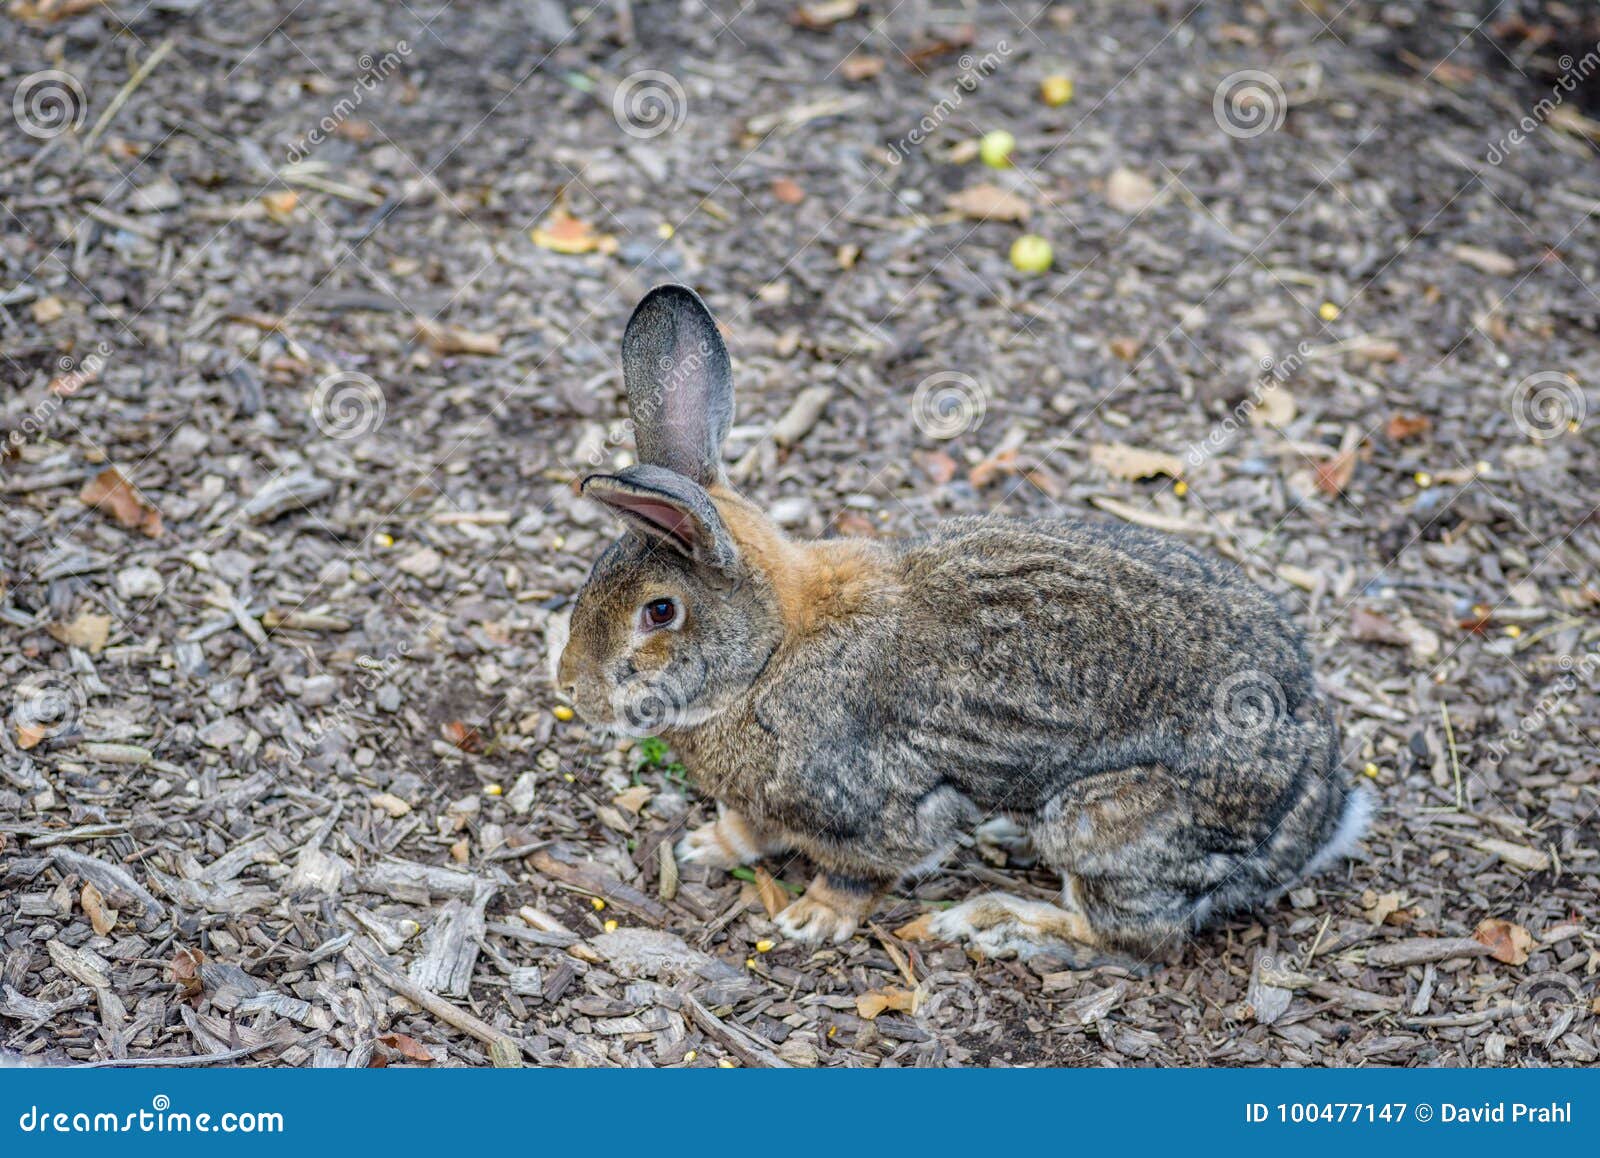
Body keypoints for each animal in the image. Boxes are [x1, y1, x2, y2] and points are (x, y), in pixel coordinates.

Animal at [557, 283, 1370, 964]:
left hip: (1107, 824)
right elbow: (749, 827)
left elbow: (860, 871)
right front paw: (706, 847)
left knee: (1133, 939)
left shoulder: (883, 808)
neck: (769, 652)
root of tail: (1320, 813)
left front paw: (811, 919)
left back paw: (993, 923)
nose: (572, 689)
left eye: (660, 611)